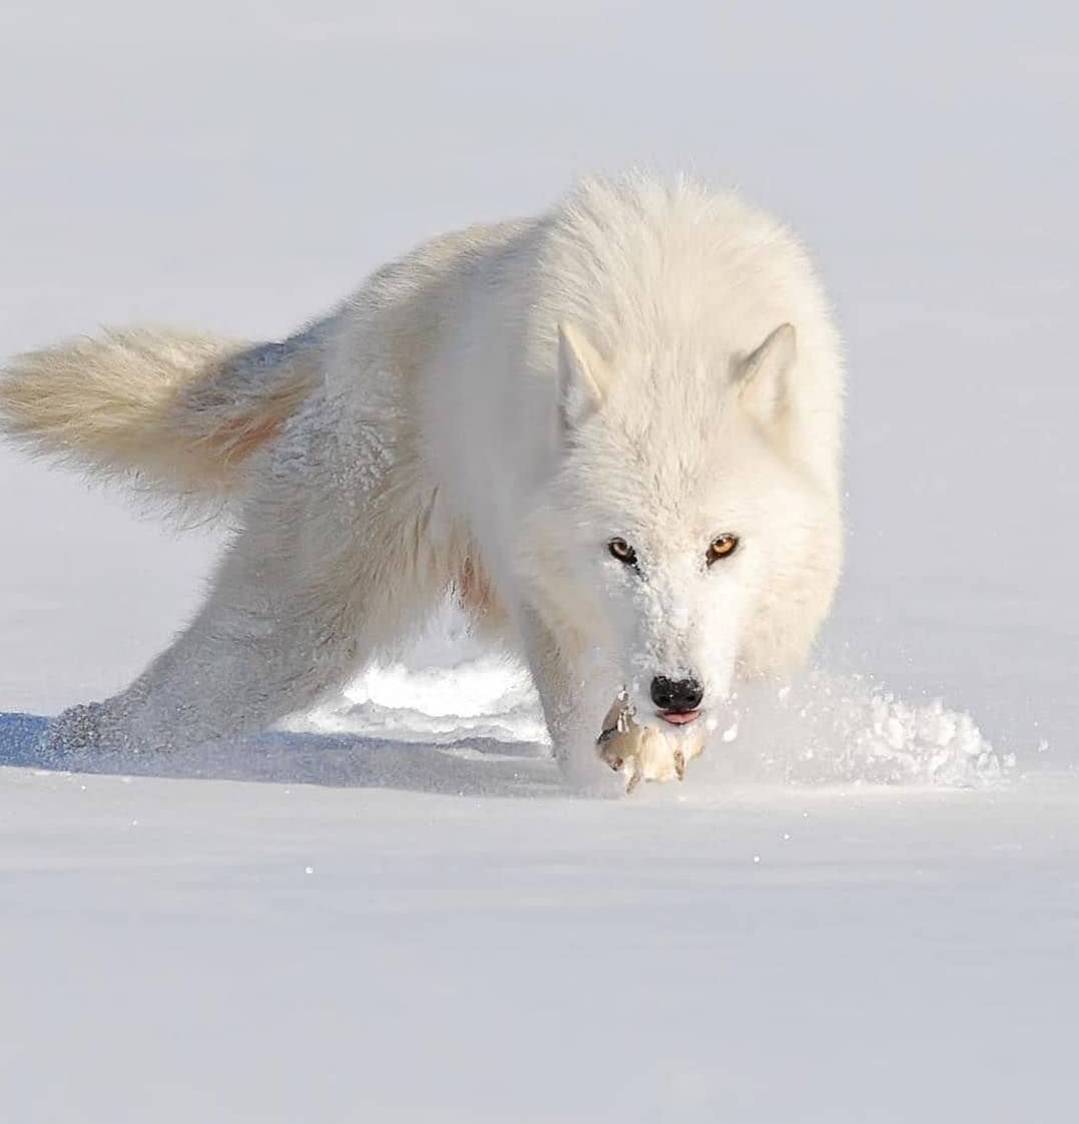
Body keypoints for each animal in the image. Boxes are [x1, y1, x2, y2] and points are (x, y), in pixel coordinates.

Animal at [0, 173, 844, 787]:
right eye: (620, 551)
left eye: (722, 546)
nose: (676, 691)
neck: (666, 338)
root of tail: (351, 316)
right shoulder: (547, 598)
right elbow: (583, 721)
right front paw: (619, 768)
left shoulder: (773, 614)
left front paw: (656, 748)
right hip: (299, 637)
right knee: (162, 705)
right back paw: (65, 750)